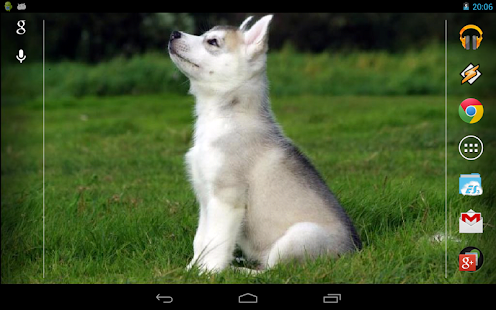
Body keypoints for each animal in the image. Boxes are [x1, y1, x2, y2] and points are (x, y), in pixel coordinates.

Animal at [168, 15, 360, 272]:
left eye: (213, 41)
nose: (174, 34)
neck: (226, 116)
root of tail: (354, 252)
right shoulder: (206, 199)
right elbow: (201, 240)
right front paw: (191, 269)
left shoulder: (226, 198)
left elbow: (216, 242)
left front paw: (209, 273)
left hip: (296, 238)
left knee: (271, 270)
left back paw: (238, 270)